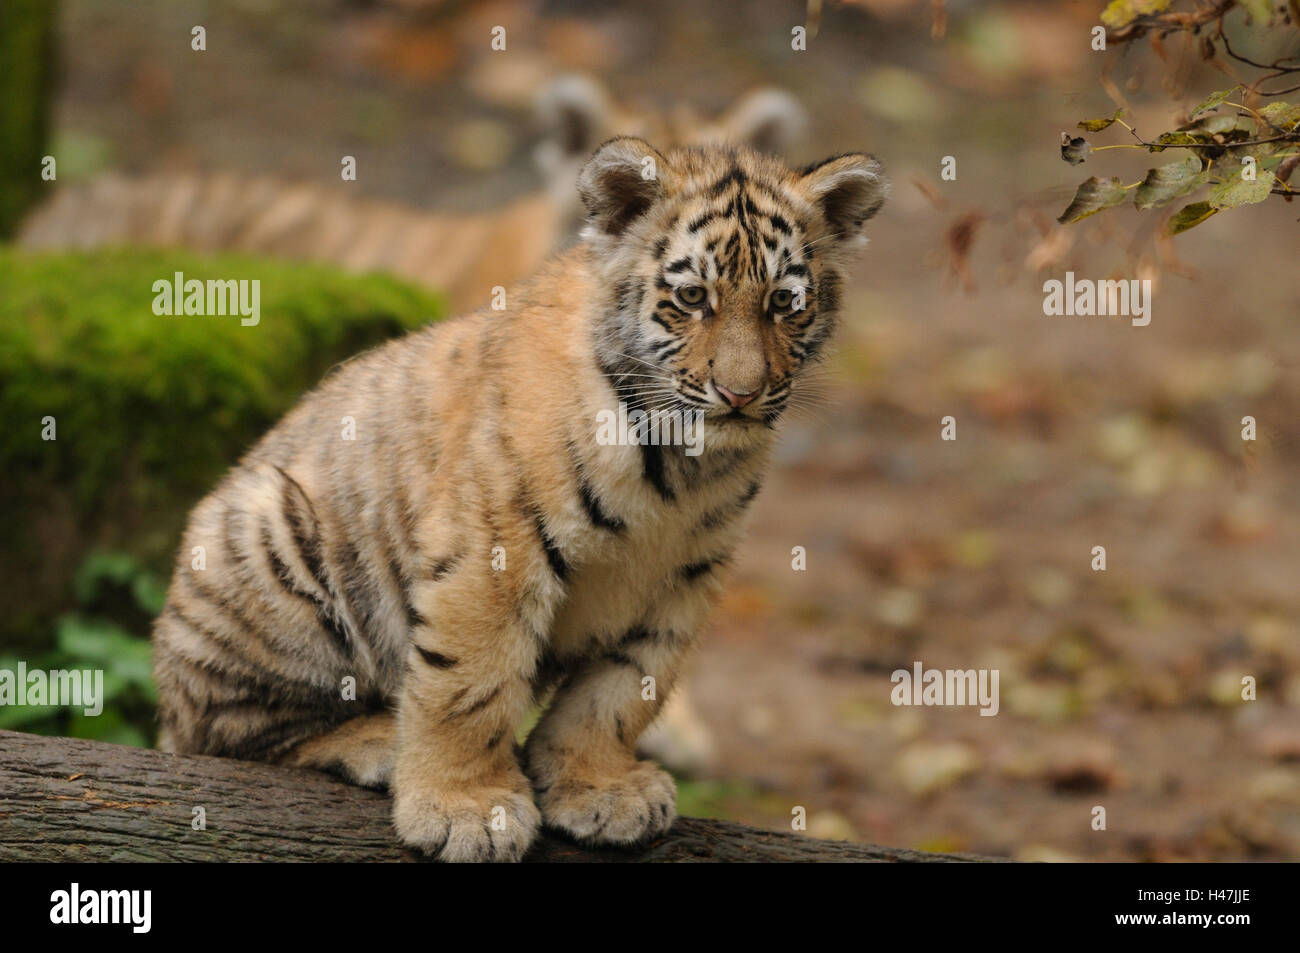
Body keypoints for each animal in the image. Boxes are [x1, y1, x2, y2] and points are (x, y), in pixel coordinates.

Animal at [151, 136, 887, 861]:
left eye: (784, 303)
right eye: (692, 297)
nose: (740, 392)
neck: (682, 463)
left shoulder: (683, 575)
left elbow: (622, 690)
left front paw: (598, 787)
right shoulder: (495, 546)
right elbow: (468, 684)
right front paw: (466, 809)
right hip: (265, 532)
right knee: (223, 730)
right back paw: (380, 741)